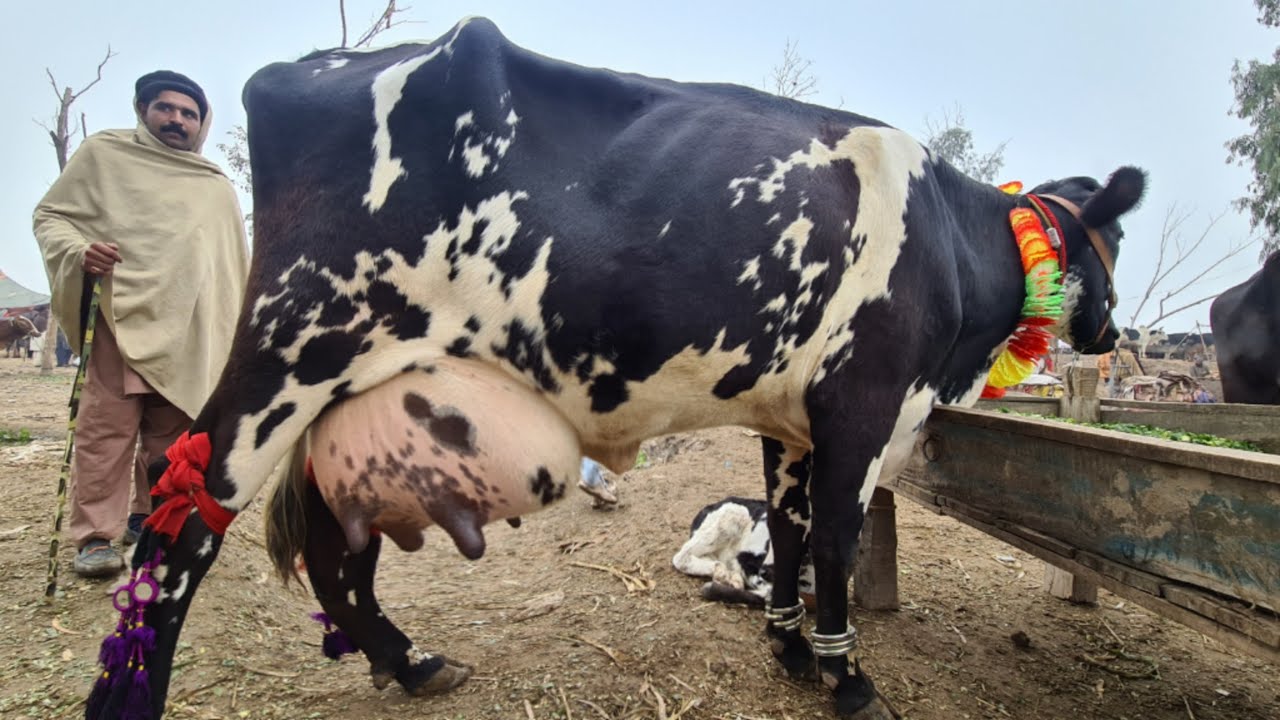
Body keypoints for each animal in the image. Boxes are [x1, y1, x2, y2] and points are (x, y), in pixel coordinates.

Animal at [85, 17, 1145, 720]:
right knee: (179, 528)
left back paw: (411, 662)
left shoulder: (790, 421)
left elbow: (792, 534)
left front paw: (789, 648)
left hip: (359, 391)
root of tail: (314, 65)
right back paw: (128, 697)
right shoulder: (866, 406)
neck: (951, 245)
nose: (1113, 329)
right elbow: (838, 544)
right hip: (289, 350)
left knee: (337, 547)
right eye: (1117, 242)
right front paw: (849, 680)